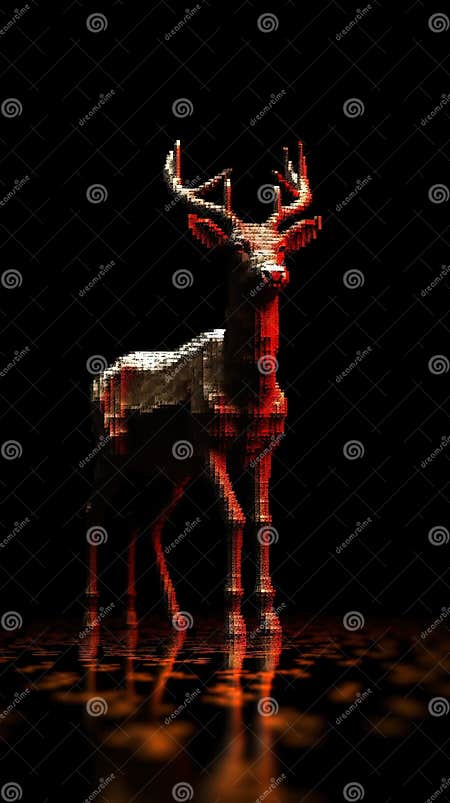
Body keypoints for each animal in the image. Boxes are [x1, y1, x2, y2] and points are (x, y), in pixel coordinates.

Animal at [86, 138, 321, 638]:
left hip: (170, 469)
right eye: (237, 246)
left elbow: (263, 519)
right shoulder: (207, 436)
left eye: (282, 245)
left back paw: (158, 616)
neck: (248, 393)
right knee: (95, 512)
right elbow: (233, 517)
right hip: (109, 447)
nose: (273, 273)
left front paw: (268, 619)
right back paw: (93, 616)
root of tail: (101, 373)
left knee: (143, 523)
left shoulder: (267, 443)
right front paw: (234, 622)